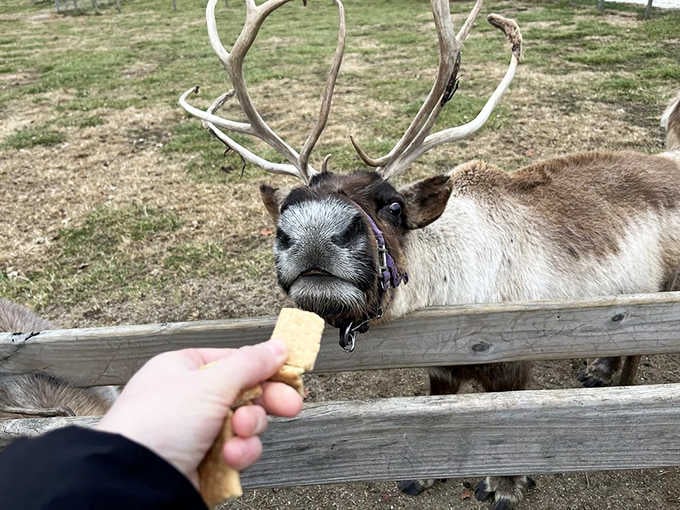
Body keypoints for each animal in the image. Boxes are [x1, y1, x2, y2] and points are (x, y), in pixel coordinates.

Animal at [179, 0, 680, 507]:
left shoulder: (512, 360)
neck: (445, 291)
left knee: (636, 346)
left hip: (654, 294)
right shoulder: (438, 365)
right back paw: (599, 368)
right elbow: (438, 410)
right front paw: (423, 476)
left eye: (394, 205)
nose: (314, 229)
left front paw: (505, 484)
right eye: (289, 205)